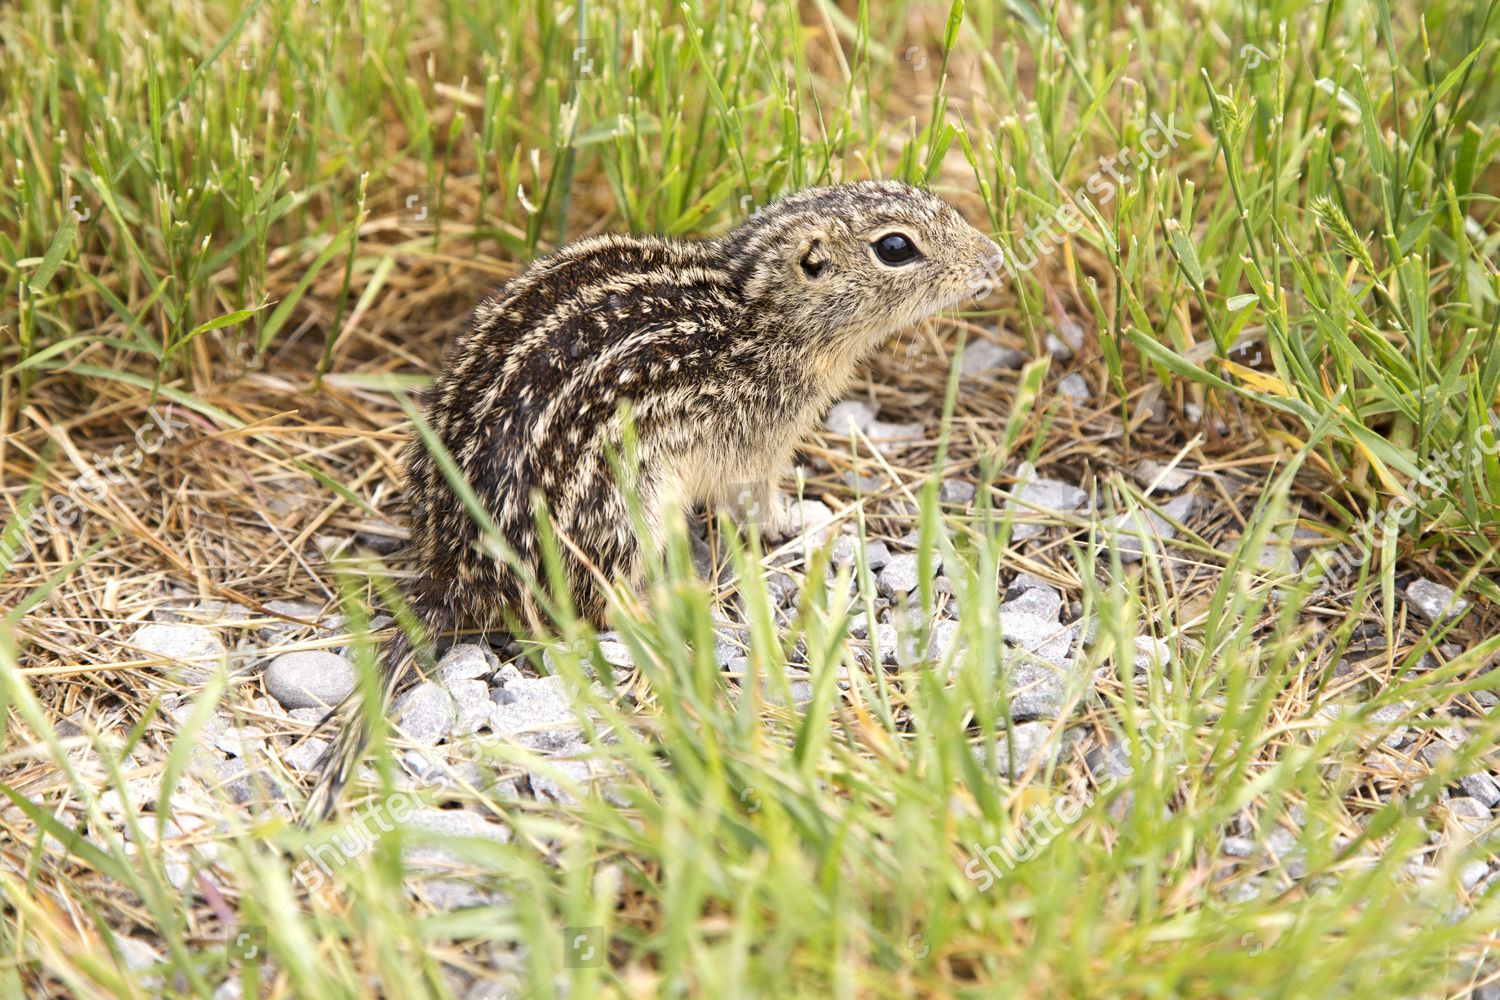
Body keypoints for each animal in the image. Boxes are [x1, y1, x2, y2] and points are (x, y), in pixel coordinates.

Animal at [305, 179, 1003, 818]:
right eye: (895, 248)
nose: (994, 258)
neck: (758, 313)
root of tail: (451, 574)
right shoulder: (755, 443)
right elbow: (756, 500)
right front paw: (795, 523)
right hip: (628, 510)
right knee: (597, 609)